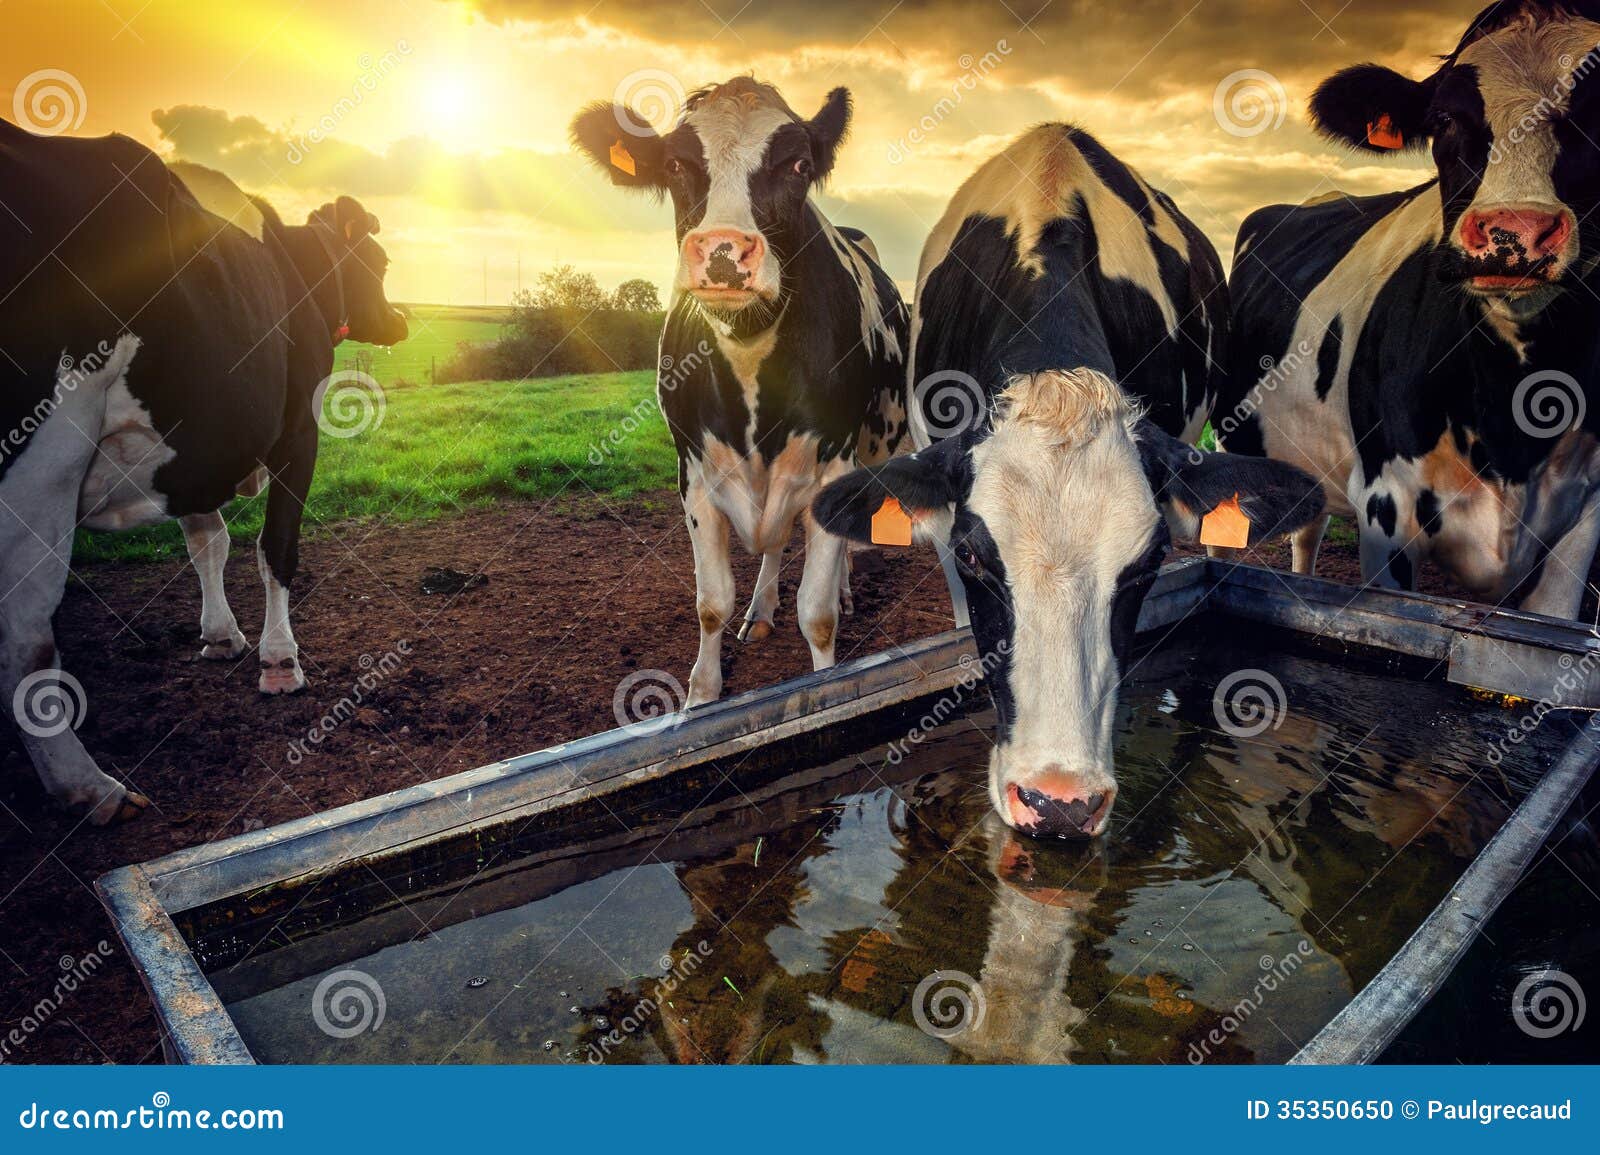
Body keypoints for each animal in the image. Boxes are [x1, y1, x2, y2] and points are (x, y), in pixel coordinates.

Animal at [0, 120, 405, 824]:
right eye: (378, 265)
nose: (404, 321)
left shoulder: (196, 447)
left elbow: (206, 542)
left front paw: (221, 636)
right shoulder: (297, 430)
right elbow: (276, 547)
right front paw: (279, 662)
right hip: (42, 458)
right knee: (26, 638)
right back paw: (94, 789)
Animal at [570, 78, 909, 706]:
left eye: (799, 165)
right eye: (676, 164)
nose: (724, 250)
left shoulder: (831, 466)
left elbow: (817, 614)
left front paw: (828, 682)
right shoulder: (695, 474)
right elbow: (711, 603)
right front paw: (702, 694)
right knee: (773, 545)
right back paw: (761, 609)